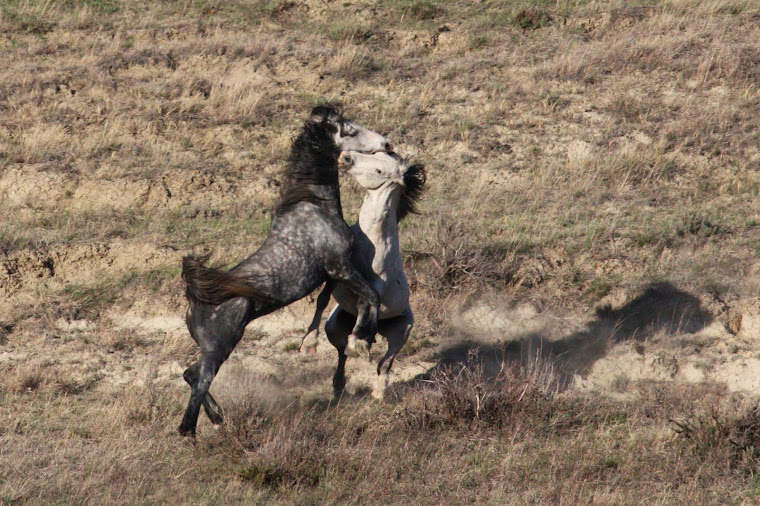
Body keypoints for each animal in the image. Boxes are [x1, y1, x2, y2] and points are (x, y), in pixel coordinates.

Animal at [178, 106, 392, 437]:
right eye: (350, 130)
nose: (386, 143)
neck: (314, 206)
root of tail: (194, 303)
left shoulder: (330, 276)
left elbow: (324, 304)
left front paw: (314, 343)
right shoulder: (341, 266)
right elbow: (371, 295)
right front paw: (361, 340)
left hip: (213, 348)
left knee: (191, 374)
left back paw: (218, 417)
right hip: (220, 346)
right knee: (199, 381)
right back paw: (194, 431)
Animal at [300, 150, 426, 399]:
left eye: (379, 170)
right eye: (376, 153)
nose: (345, 156)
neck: (369, 243)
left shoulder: (375, 286)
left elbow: (369, 302)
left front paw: (359, 341)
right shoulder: (336, 271)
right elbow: (322, 299)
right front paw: (308, 343)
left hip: (401, 331)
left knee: (385, 362)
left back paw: (378, 390)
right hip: (335, 326)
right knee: (341, 352)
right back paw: (339, 384)